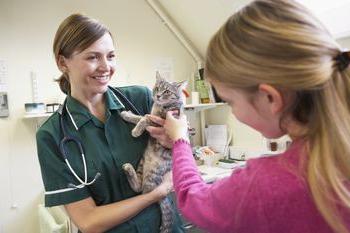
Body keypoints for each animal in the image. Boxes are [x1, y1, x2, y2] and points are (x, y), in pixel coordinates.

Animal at [119, 73, 187, 233]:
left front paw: (136, 130)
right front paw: (127, 115)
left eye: (167, 91)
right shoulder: (153, 114)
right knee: (139, 186)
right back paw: (128, 169)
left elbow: (145, 117)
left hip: (152, 175)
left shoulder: (162, 121)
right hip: (142, 162)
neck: (160, 106)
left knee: (145, 191)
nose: (158, 95)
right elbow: (141, 116)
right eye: (157, 87)